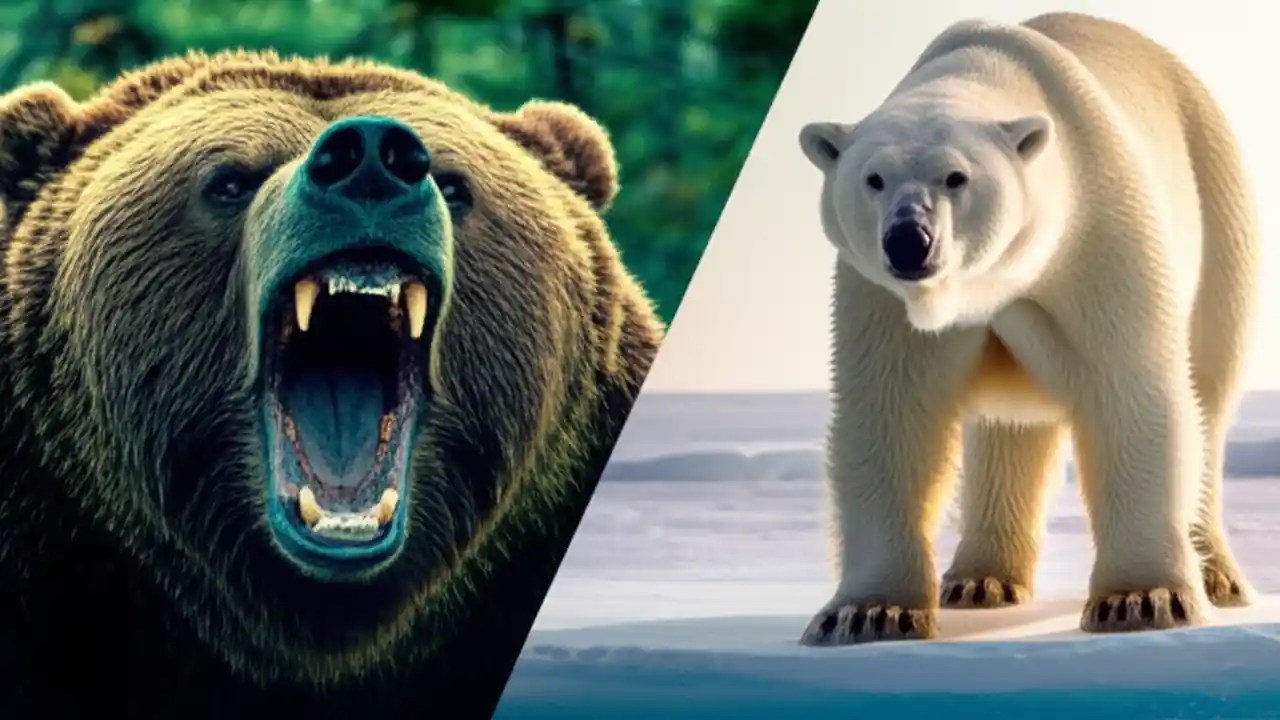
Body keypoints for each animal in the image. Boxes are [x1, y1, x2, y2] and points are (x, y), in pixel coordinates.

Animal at [795, 11, 1259, 645]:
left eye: (956, 177)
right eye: (873, 178)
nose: (908, 241)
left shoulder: (1099, 234)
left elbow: (1131, 392)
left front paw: (1142, 599)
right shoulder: (884, 298)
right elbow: (890, 414)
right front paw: (869, 613)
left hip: (1218, 213)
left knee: (1208, 394)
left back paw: (1217, 576)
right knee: (1008, 429)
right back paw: (977, 580)